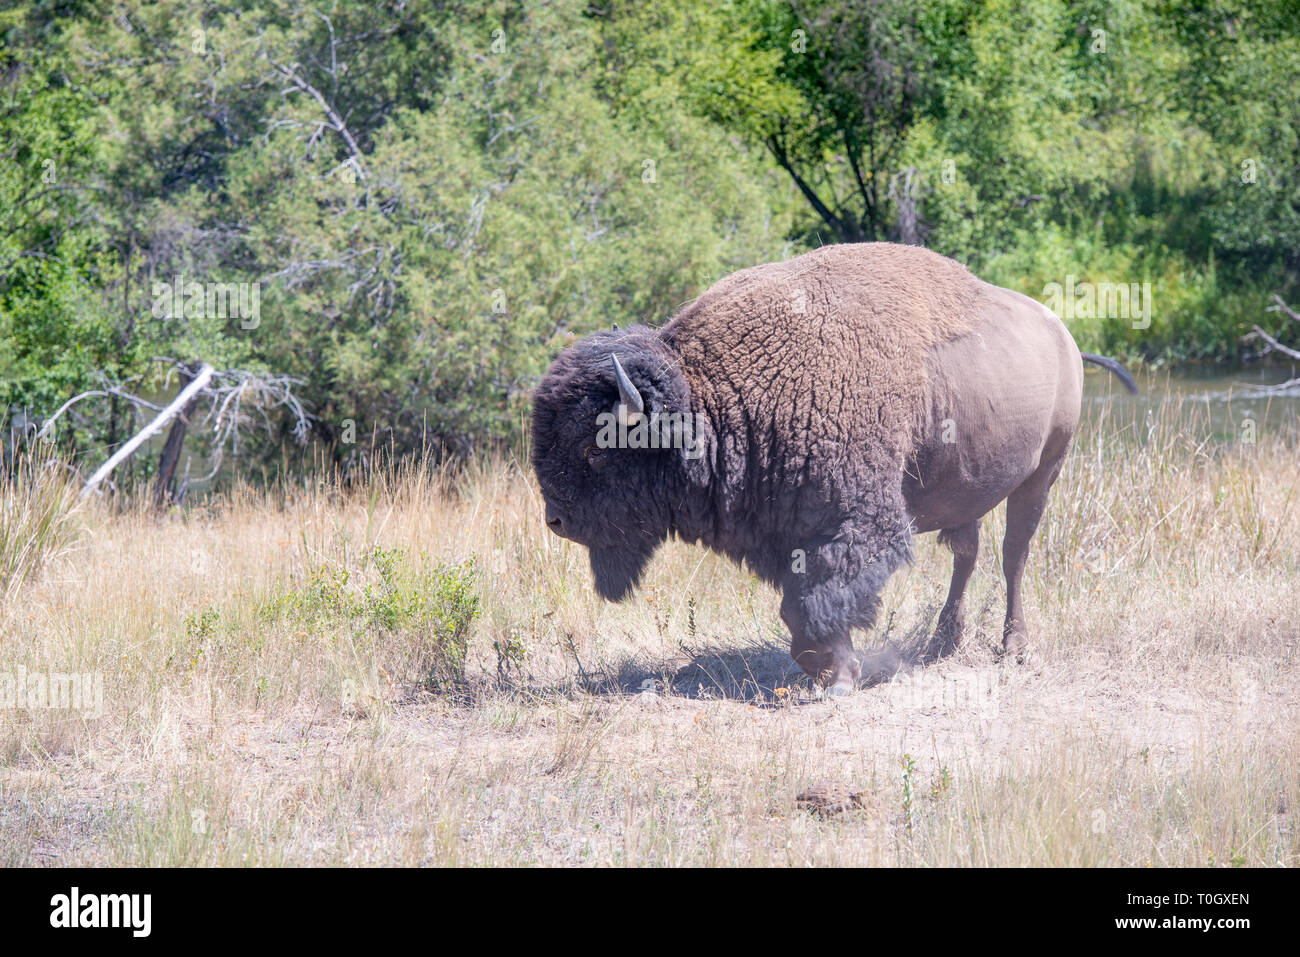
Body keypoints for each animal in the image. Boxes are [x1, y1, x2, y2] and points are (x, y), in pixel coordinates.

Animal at [532, 243, 1135, 694]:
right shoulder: (787, 531)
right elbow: (802, 604)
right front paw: (829, 668)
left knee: (1014, 556)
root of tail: (1062, 336)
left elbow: (822, 596)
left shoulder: (852, 524)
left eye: (594, 449)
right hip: (972, 487)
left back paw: (1012, 648)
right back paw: (943, 642)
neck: (716, 398)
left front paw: (840, 677)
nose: (555, 520)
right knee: (967, 556)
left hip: (1043, 473)